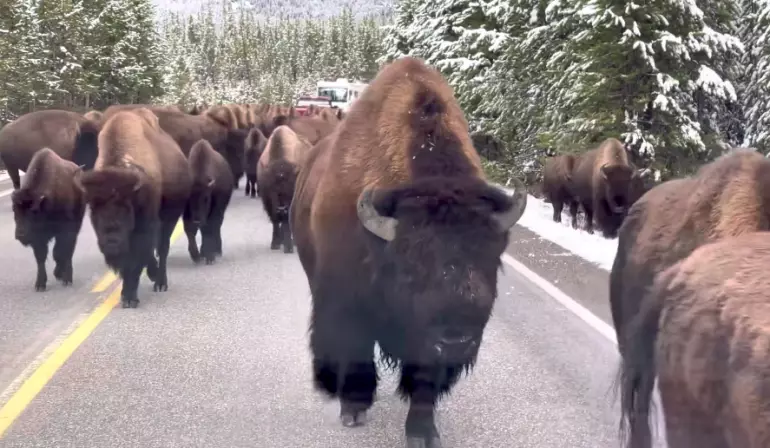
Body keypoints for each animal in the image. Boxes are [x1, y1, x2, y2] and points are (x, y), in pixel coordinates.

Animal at [11, 149, 86, 292]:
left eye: (34, 211)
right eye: (14, 210)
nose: (20, 234)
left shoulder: (65, 231)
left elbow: (59, 252)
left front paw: (62, 276)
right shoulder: (38, 238)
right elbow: (41, 257)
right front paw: (40, 284)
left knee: (68, 252)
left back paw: (66, 277)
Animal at [73, 107, 192, 308]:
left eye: (126, 208)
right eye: (93, 210)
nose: (112, 243)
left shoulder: (143, 226)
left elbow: (135, 260)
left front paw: (130, 298)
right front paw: (125, 294)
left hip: (170, 215)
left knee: (163, 248)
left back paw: (161, 283)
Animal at [288, 57, 528, 448]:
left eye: (491, 260)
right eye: (412, 266)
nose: (456, 340)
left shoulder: (426, 344)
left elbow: (424, 380)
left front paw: (422, 432)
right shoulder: (347, 304)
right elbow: (354, 352)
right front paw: (353, 410)